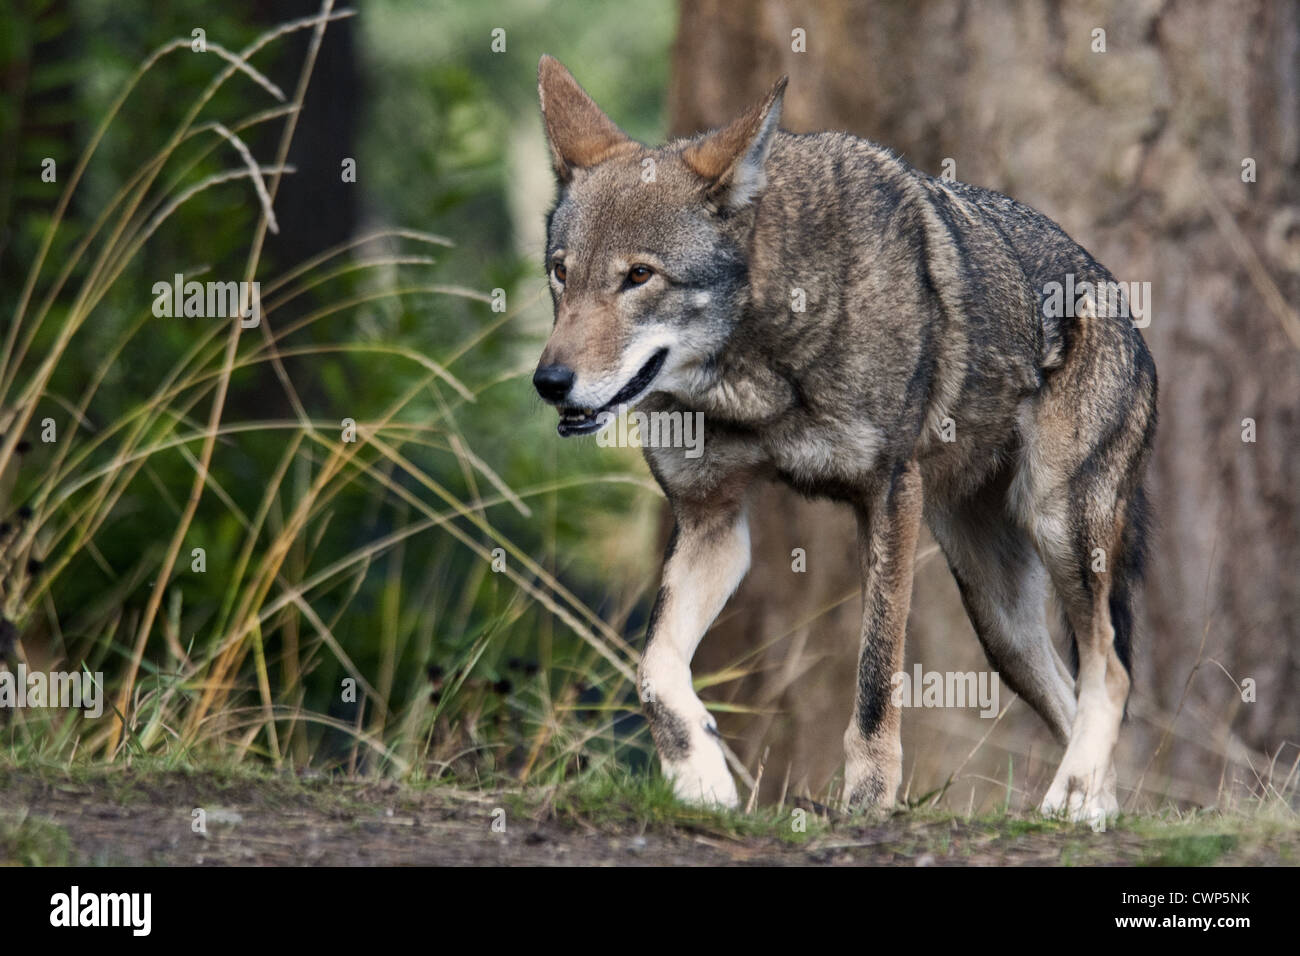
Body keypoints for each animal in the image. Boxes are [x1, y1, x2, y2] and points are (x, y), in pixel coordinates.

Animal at [531, 56, 1157, 822]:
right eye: (561, 272)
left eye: (639, 276)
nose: (549, 382)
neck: (761, 377)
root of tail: (1120, 300)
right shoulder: (712, 521)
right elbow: (653, 666)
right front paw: (699, 777)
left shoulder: (888, 497)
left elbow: (875, 678)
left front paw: (868, 802)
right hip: (999, 624)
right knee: (1076, 694)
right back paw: (1089, 807)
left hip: (1060, 530)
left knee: (1112, 672)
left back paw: (1073, 797)